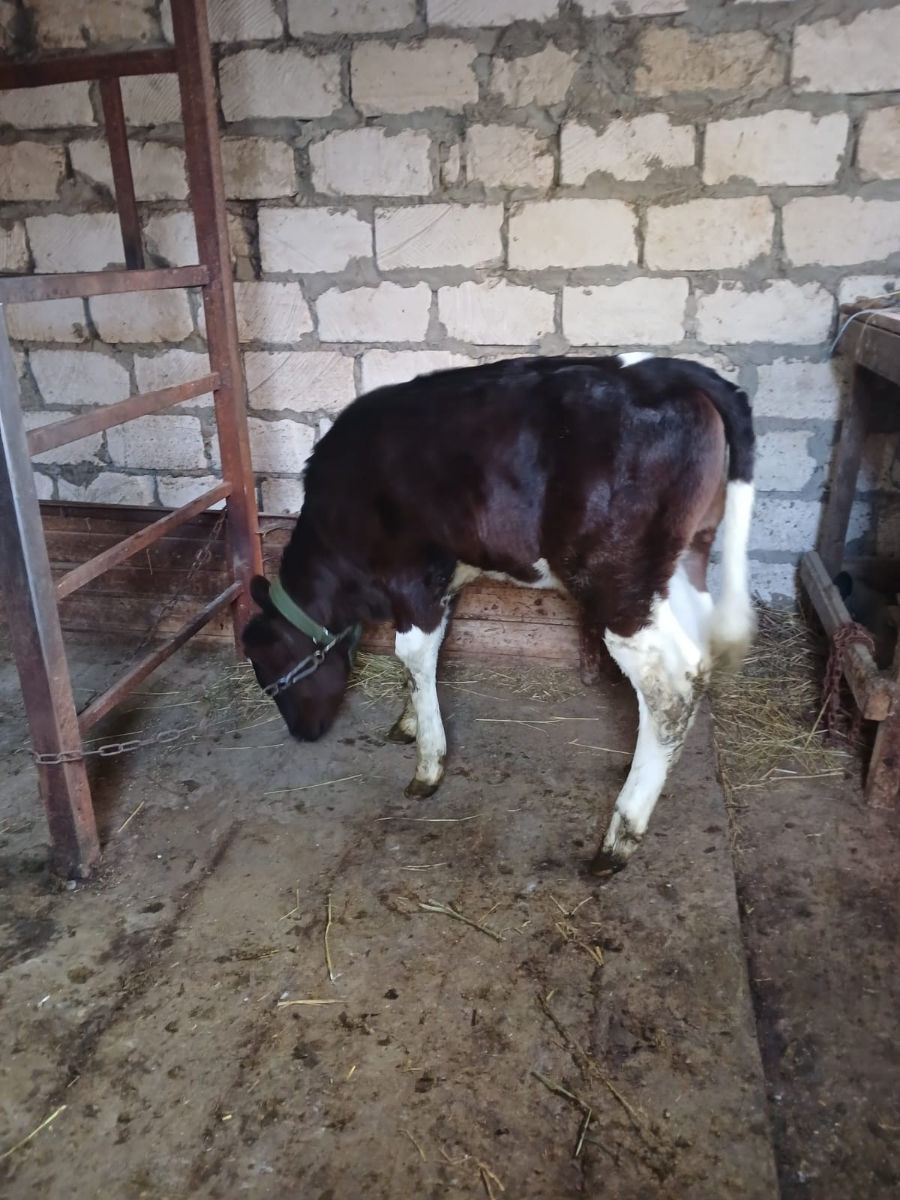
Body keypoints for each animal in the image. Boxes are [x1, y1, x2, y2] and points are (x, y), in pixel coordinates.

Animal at [242, 354, 755, 874]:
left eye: (268, 668)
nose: (301, 734)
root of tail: (667, 369)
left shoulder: (409, 576)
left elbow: (412, 656)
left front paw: (428, 765)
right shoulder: (443, 579)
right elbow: (429, 656)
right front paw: (408, 722)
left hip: (619, 582)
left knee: (671, 683)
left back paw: (620, 836)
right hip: (680, 564)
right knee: (699, 653)